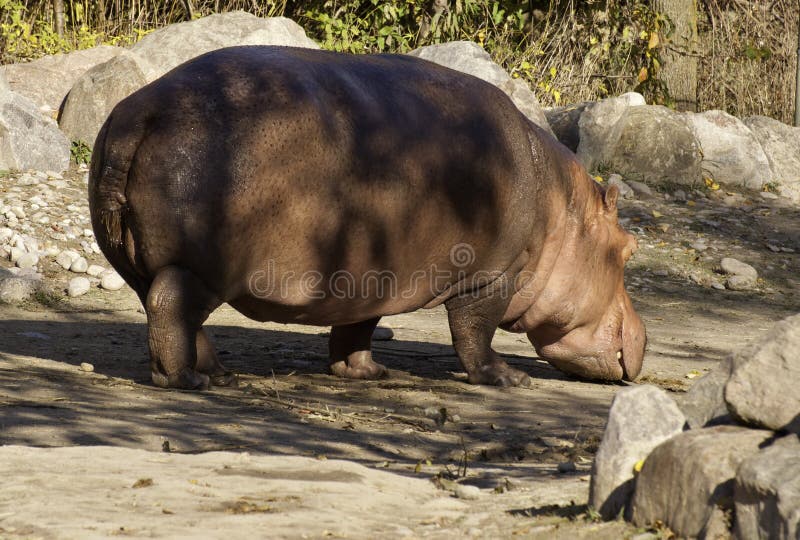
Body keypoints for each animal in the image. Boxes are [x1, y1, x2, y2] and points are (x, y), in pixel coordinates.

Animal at [89, 46, 646, 390]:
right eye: (628, 249)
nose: (644, 337)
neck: (563, 213)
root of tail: (138, 113)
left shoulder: (369, 275)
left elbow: (357, 329)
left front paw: (370, 375)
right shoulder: (492, 276)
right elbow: (474, 332)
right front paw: (509, 379)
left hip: (136, 260)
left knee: (169, 311)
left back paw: (222, 375)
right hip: (203, 266)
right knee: (170, 308)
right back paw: (189, 381)